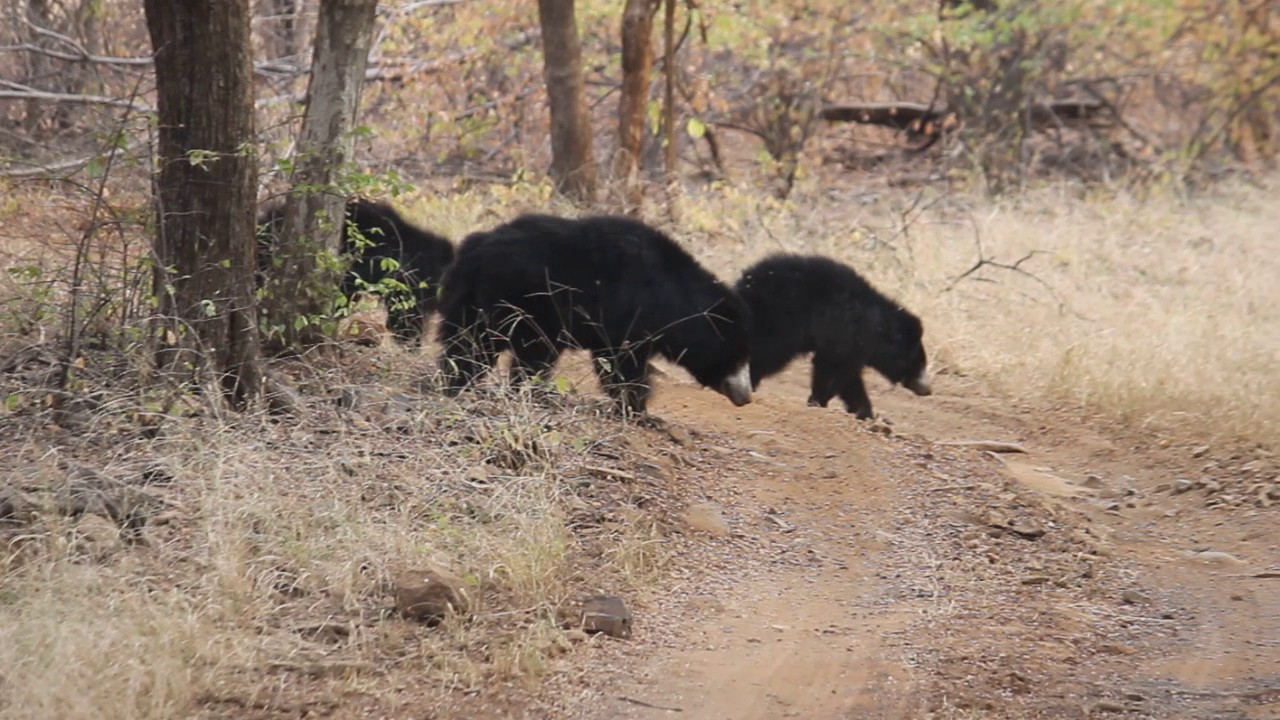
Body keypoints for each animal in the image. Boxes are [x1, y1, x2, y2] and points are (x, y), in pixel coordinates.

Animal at [435, 213, 753, 415]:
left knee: (465, 343)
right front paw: (639, 408)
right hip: (526, 301)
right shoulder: (630, 316)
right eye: (737, 356)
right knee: (527, 352)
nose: (745, 396)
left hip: (470, 300)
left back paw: (455, 382)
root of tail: (476, 248)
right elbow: (623, 365)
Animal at [733, 253, 932, 420]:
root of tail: (746, 283)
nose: (927, 389)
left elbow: (849, 379)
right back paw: (749, 382)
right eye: (920, 363)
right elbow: (833, 369)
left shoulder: (848, 344)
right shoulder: (846, 332)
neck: (880, 330)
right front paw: (818, 402)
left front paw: (865, 413)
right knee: (766, 352)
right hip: (781, 320)